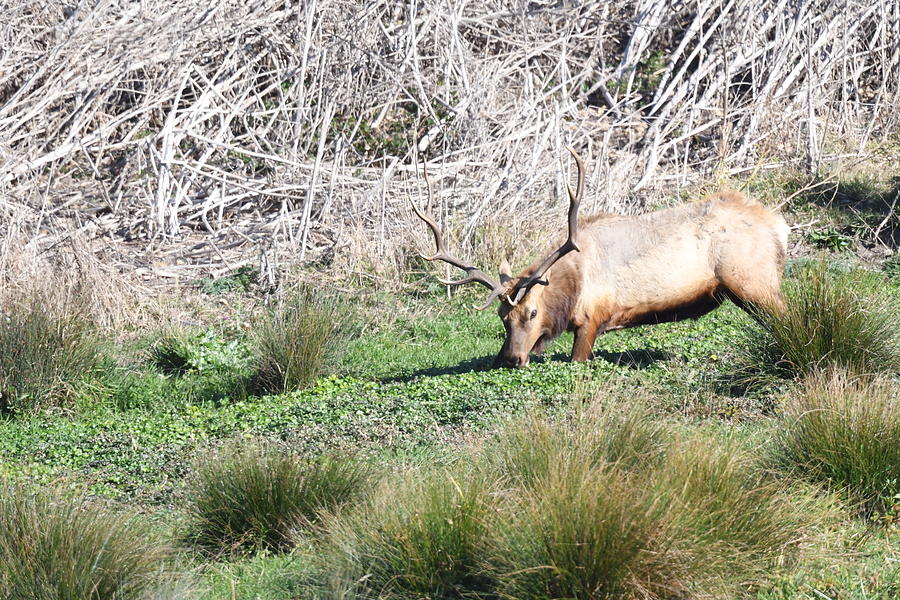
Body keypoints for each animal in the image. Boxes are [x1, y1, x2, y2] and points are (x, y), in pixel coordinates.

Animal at [412, 147, 789, 368]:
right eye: (502, 317)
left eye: (532, 311)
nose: (510, 358)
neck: (571, 283)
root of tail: (779, 226)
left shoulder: (592, 319)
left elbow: (578, 361)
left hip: (753, 281)